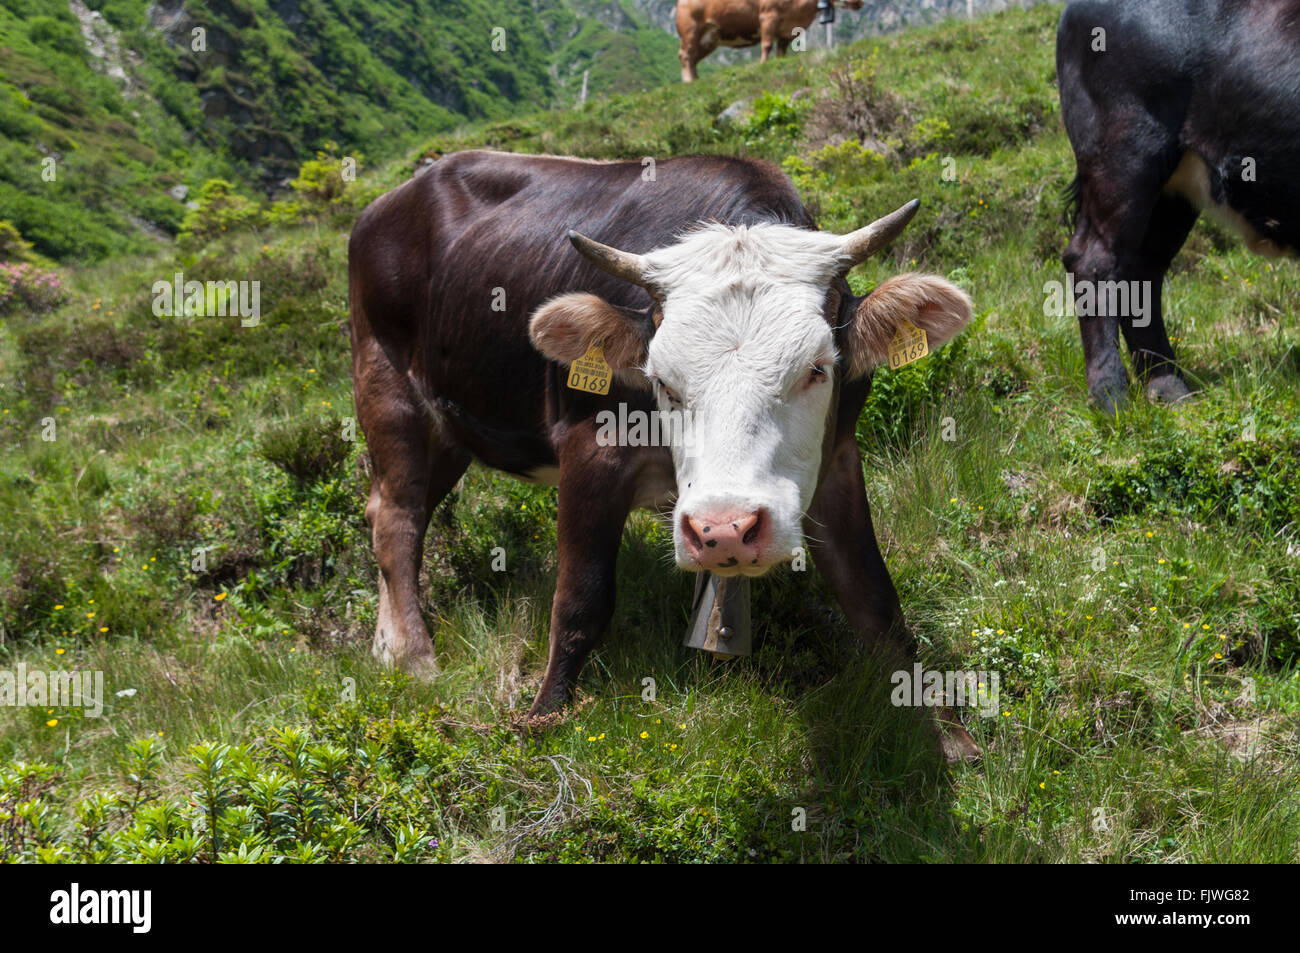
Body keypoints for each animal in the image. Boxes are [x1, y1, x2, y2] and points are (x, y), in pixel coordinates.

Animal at [348, 149, 979, 761]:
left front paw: (942, 730)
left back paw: (387, 642)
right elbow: (580, 601)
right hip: (385, 382)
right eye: (662, 381)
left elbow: (876, 599)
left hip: (452, 425)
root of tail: (388, 201)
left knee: (391, 510)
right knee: (398, 518)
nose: (725, 529)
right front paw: (541, 721)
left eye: (817, 370)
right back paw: (413, 656)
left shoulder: (839, 456)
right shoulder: (592, 447)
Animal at [676, 0, 865, 82]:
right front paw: (763, 63)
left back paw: (696, 78)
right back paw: (688, 80)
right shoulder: (768, 16)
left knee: (693, 58)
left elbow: (782, 51)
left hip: (709, 39)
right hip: (691, 29)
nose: (860, 2)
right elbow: (766, 44)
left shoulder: (788, 30)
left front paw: (779, 63)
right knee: (685, 55)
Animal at [1058, 0, 1300, 412]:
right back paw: (1111, 397)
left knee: (1141, 271)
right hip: (1125, 154)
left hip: (1172, 192)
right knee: (1094, 261)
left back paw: (1168, 388)